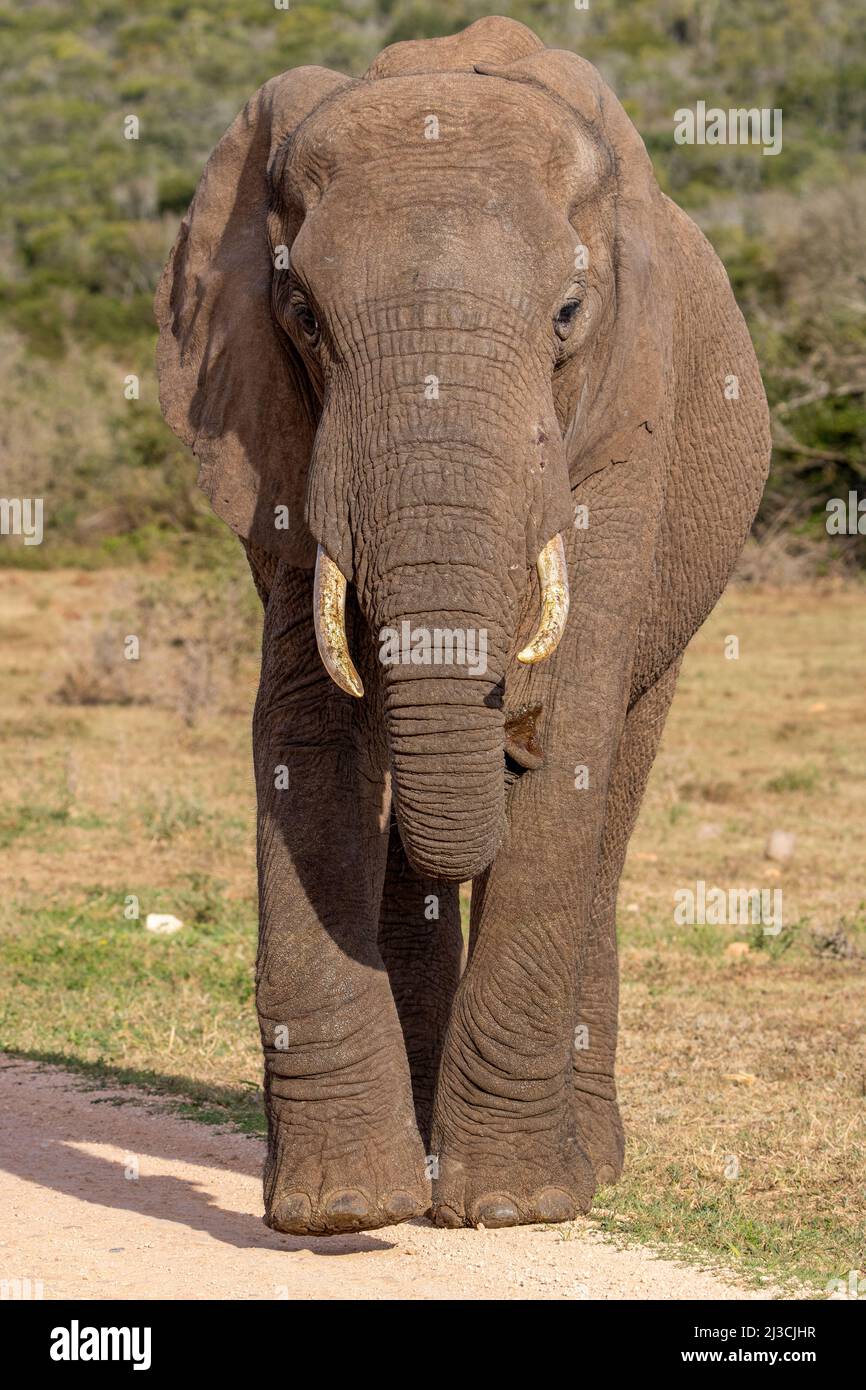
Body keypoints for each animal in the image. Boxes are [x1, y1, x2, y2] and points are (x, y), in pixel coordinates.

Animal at [155, 16, 770, 1234]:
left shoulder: (627, 418)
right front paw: (343, 1209)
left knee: (614, 789)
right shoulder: (280, 438)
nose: (503, 719)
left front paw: (517, 1205)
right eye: (303, 318)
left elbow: (572, 741)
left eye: (568, 318)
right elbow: (306, 736)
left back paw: (587, 1160)